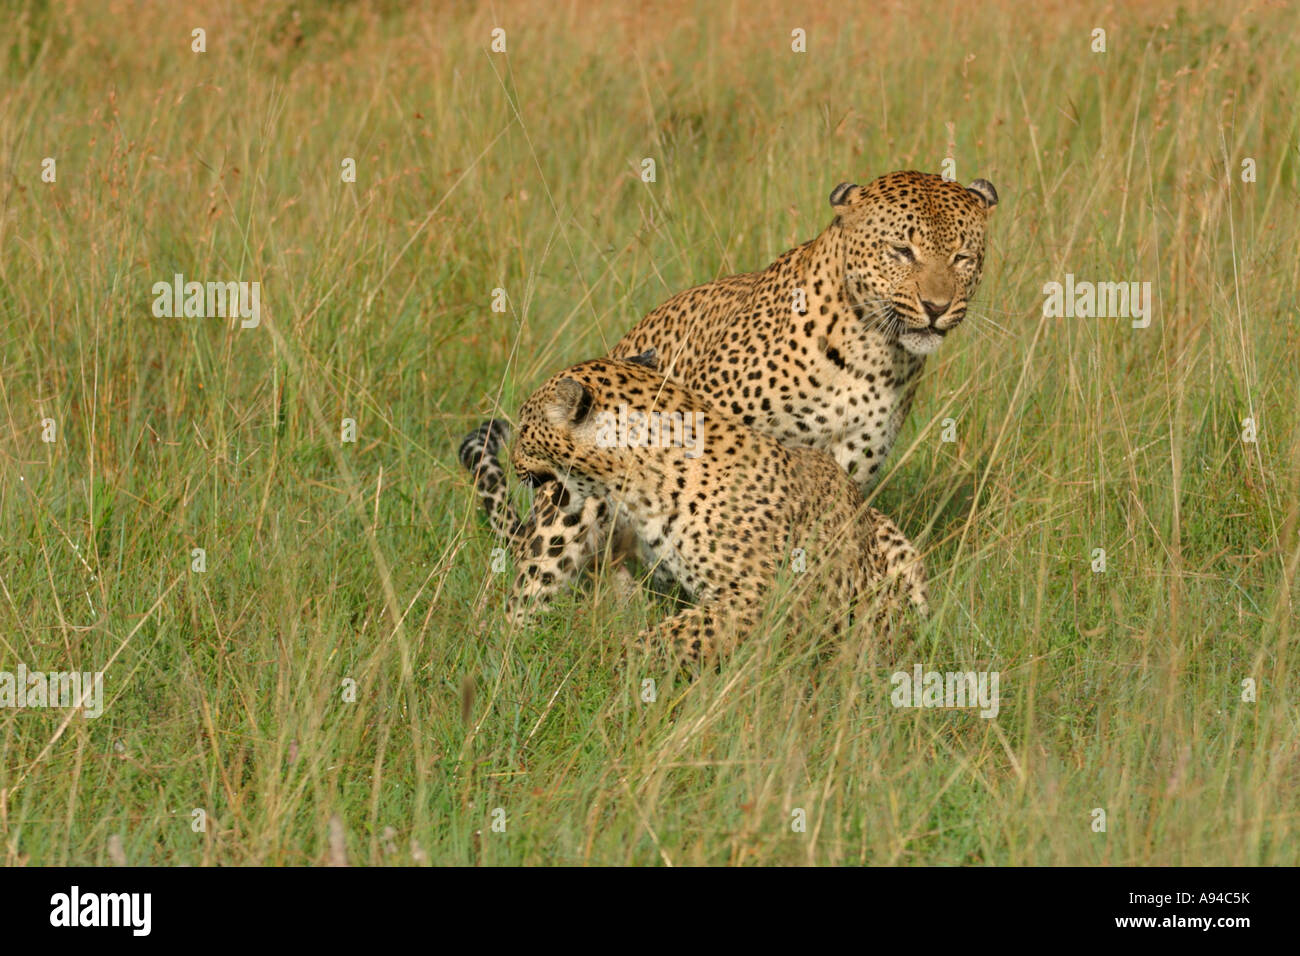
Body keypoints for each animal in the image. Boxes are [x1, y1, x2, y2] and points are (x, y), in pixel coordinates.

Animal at [460, 170, 997, 622]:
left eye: (963, 258)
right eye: (901, 251)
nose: (936, 307)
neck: (872, 351)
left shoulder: (843, 473)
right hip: (565, 503)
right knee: (537, 569)